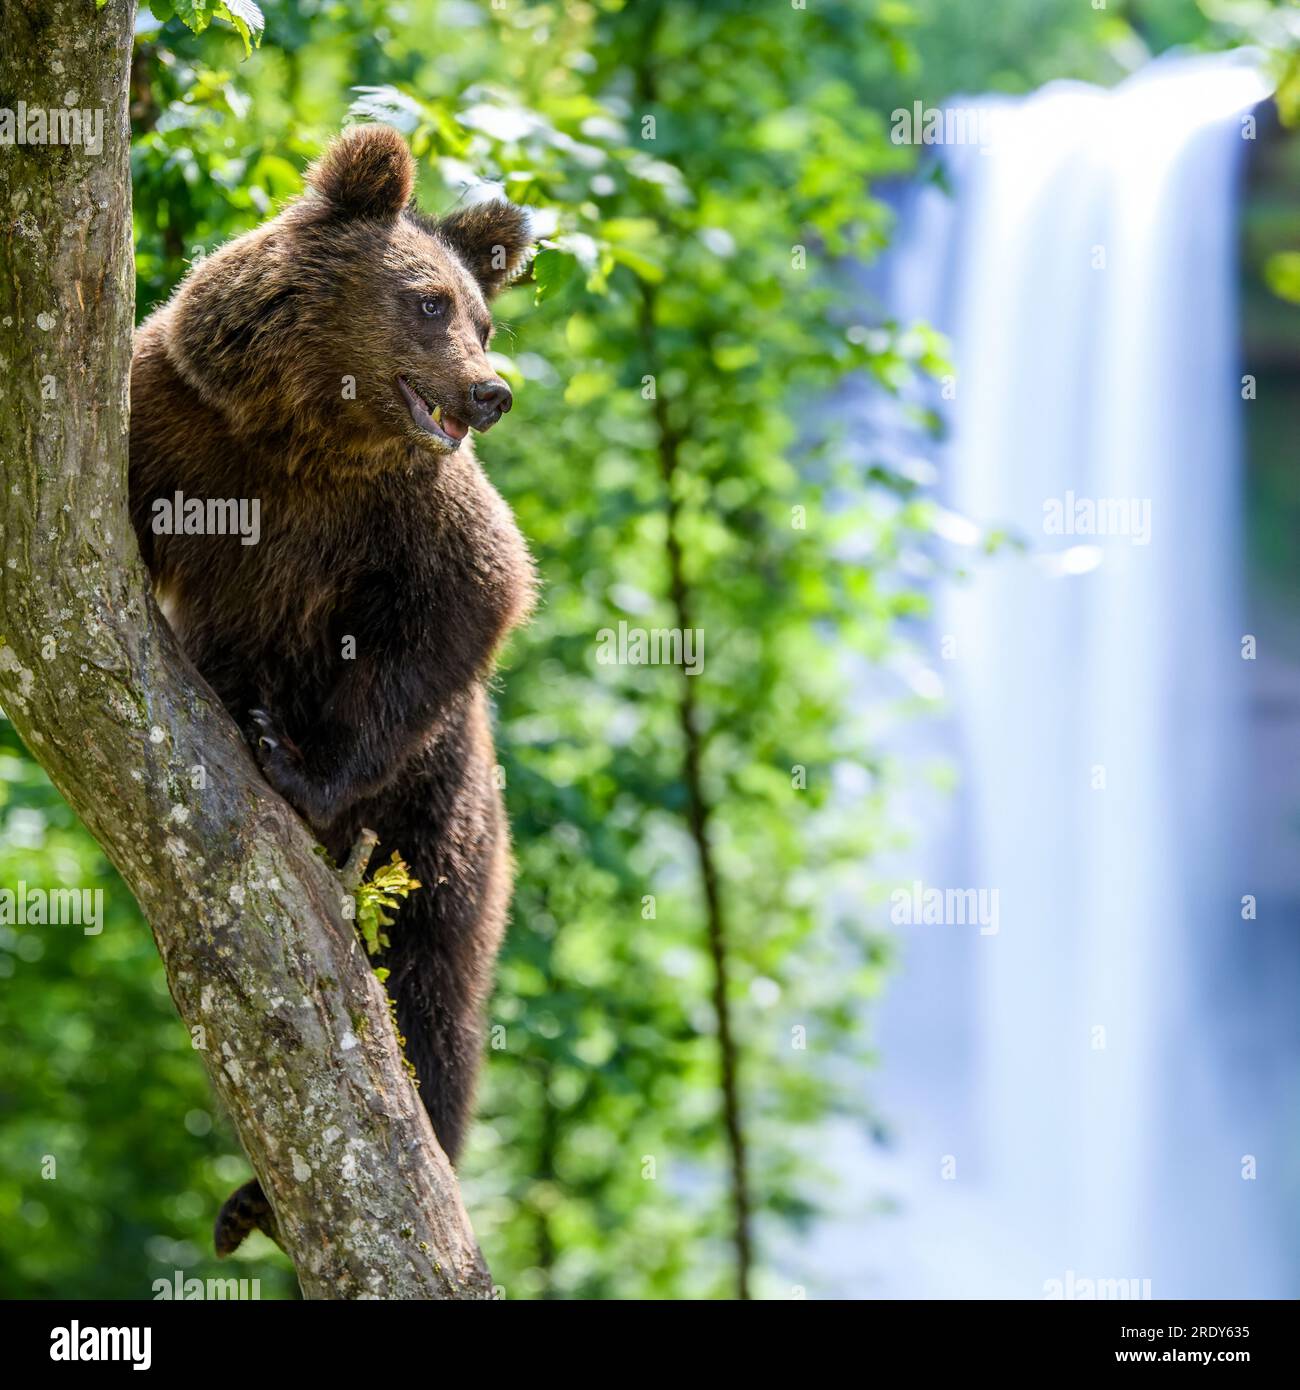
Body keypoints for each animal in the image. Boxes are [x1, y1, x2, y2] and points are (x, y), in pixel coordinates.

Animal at [127, 123, 537, 1255]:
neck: (308, 435)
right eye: (429, 301)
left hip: (447, 832)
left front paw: (288, 753)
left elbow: (468, 606)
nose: (492, 392)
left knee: (433, 1003)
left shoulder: (406, 512)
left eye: (483, 316)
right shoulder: (174, 420)